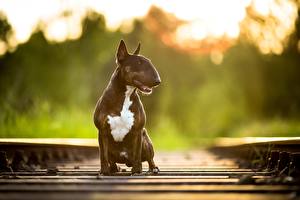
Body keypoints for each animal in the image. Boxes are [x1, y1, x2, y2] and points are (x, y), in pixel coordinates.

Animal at [94, 39, 161, 174]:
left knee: (149, 158)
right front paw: (104, 171)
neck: (125, 95)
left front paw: (137, 170)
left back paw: (153, 168)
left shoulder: (138, 131)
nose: (158, 81)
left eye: (149, 62)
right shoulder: (102, 131)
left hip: (146, 140)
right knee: (111, 160)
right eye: (139, 63)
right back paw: (114, 168)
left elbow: (137, 154)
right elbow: (103, 155)